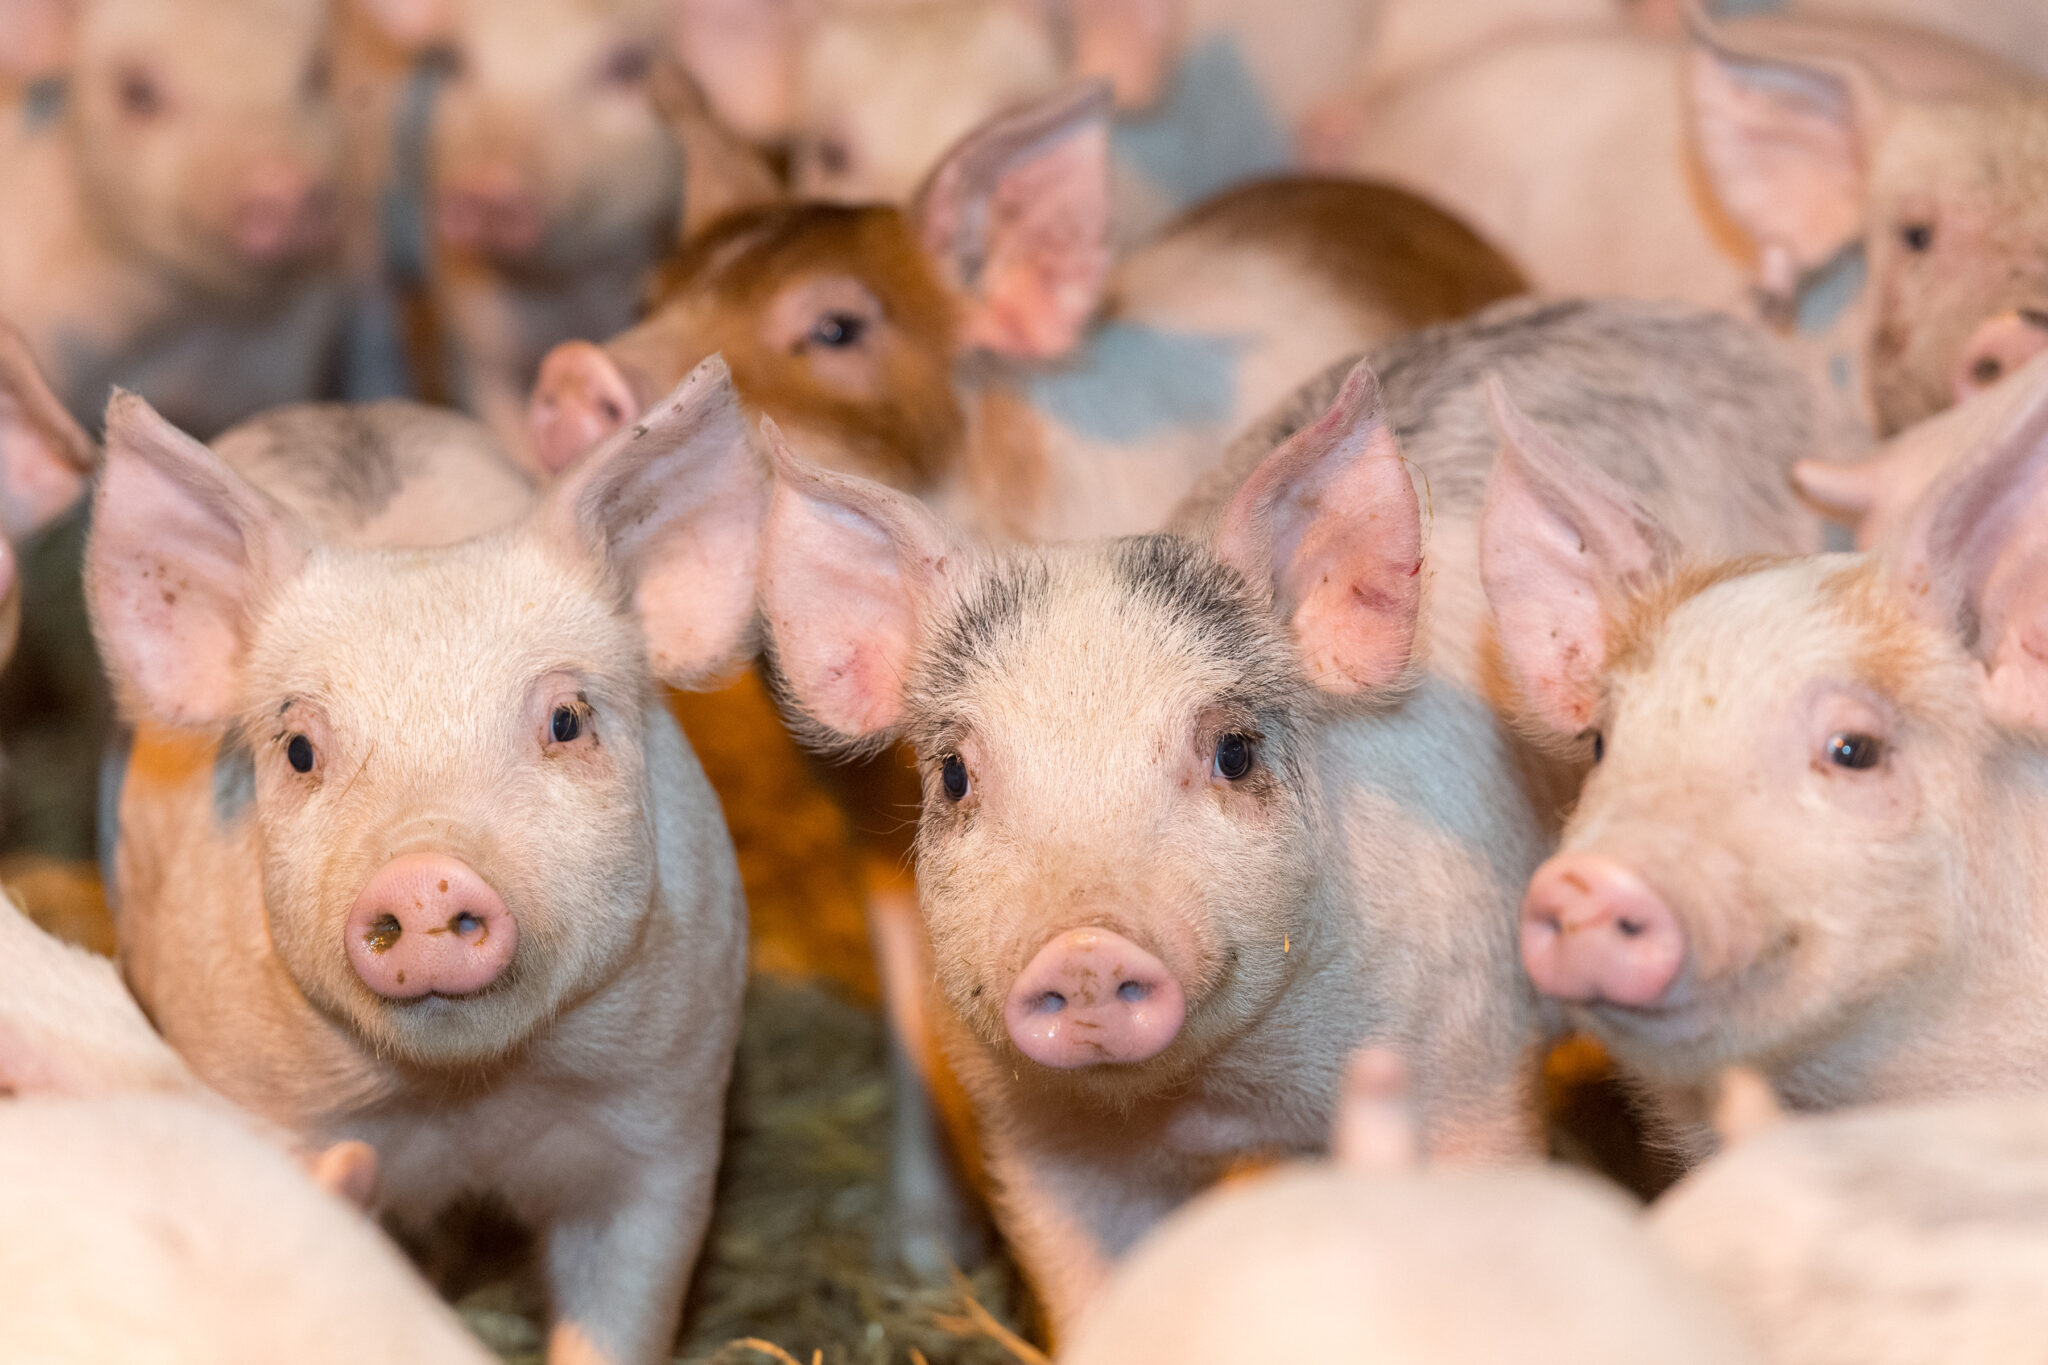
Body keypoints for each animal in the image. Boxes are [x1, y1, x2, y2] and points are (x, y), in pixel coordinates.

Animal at [89, 359, 764, 1365]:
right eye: (299, 748)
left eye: (567, 718)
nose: (424, 874)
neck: (465, 1100)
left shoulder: (671, 1118)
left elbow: (624, 1304)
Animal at [756, 296, 1825, 1329]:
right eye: (954, 776)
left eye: (1234, 751)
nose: (1085, 949)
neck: (1225, 1100)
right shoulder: (1040, 1141)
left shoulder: (1466, 1060)